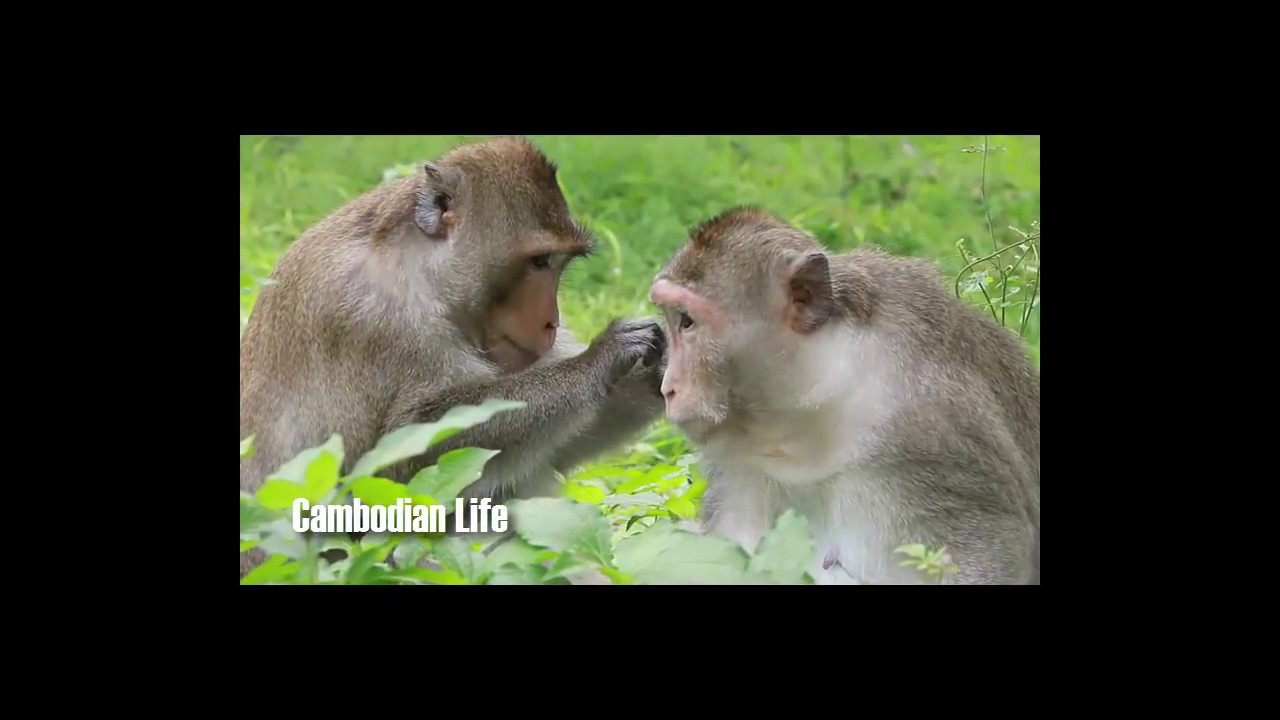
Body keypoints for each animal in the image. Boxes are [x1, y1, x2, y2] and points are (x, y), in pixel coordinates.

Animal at [240, 138, 666, 579]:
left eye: (558, 263)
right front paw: (602, 358)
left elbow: (554, 448)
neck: (415, 264)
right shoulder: (373, 318)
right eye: (539, 262)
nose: (552, 321)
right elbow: (399, 459)